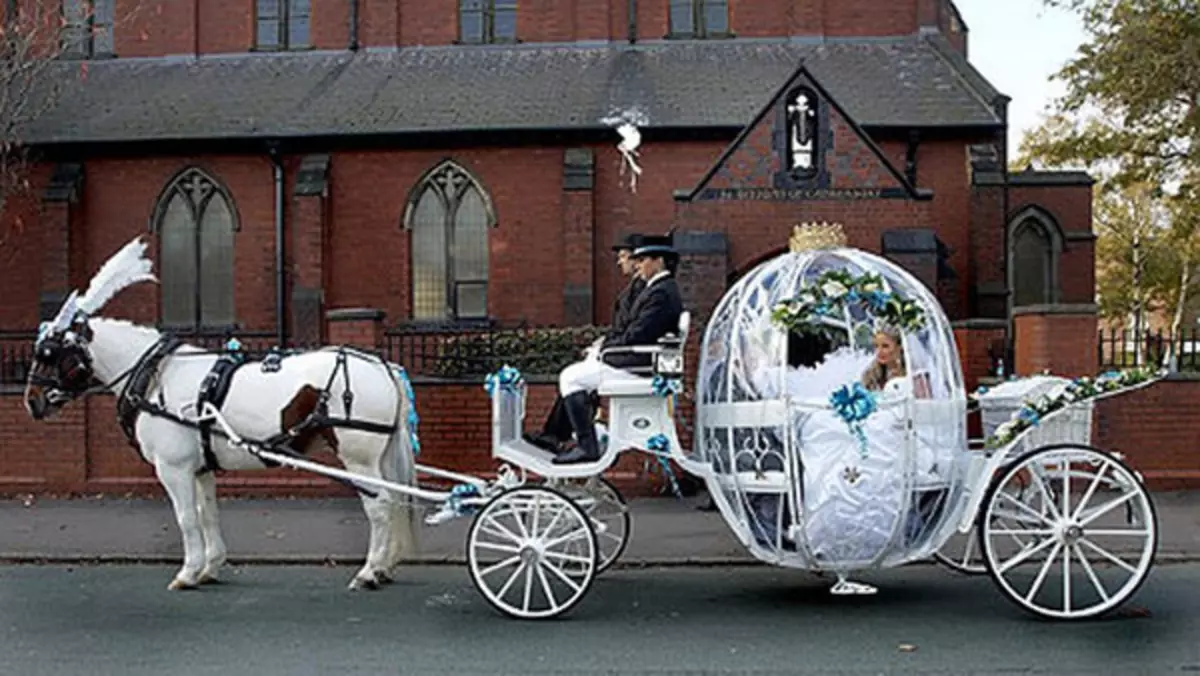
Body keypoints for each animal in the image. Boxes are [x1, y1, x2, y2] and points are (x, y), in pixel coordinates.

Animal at [23, 237, 422, 593]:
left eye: (48, 352)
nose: (31, 401)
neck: (156, 375)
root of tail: (383, 366)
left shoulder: (174, 468)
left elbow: (186, 518)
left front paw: (187, 573)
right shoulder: (199, 467)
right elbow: (207, 514)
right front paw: (209, 568)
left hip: (359, 459)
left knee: (381, 507)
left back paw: (368, 572)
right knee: (393, 501)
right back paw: (383, 568)